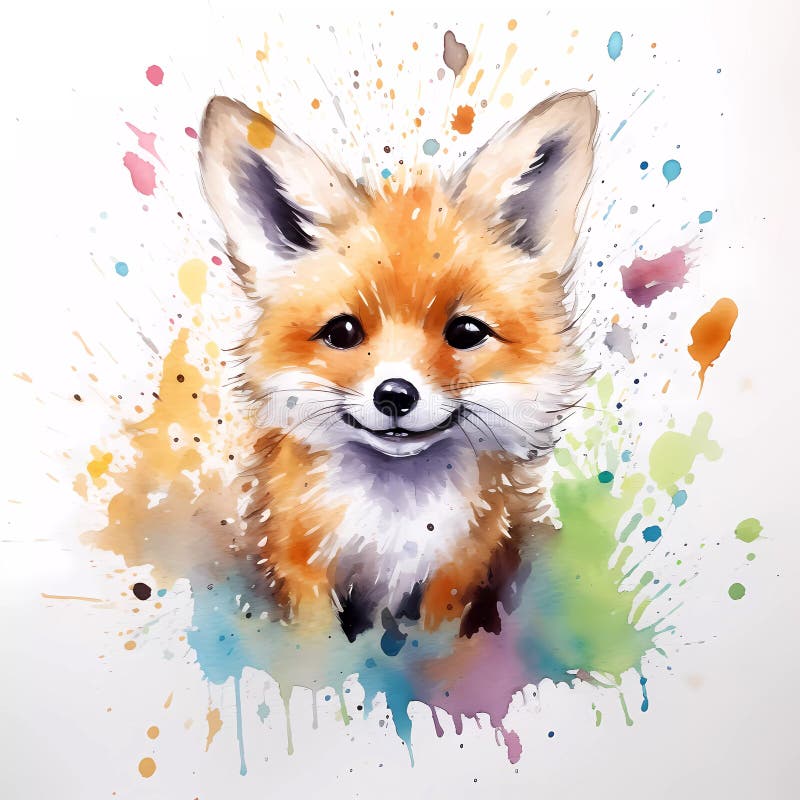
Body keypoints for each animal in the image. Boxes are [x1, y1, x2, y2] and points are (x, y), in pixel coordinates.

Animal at [199, 90, 598, 641]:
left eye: (466, 332)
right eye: (342, 332)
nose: (393, 394)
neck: (395, 524)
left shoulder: (459, 574)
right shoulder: (302, 569)